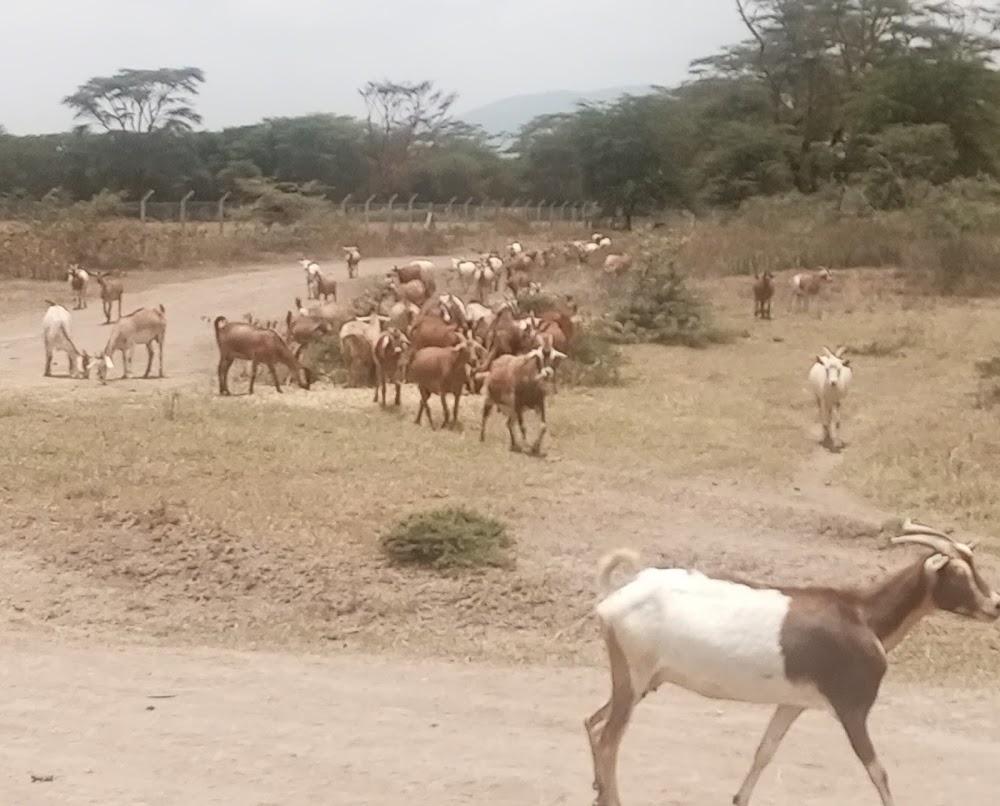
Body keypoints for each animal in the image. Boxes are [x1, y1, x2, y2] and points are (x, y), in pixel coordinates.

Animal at [584, 520, 1000, 806]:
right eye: (958, 572)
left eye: (974, 564)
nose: (995, 605)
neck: (862, 616)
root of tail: (618, 596)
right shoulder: (852, 709)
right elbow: (878, 771)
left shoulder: (792, 703)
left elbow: (764, 751)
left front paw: (739, 798)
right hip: (635, 675)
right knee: (608, 740)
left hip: (641, 681)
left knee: (593, 723)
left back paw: (598, 791)